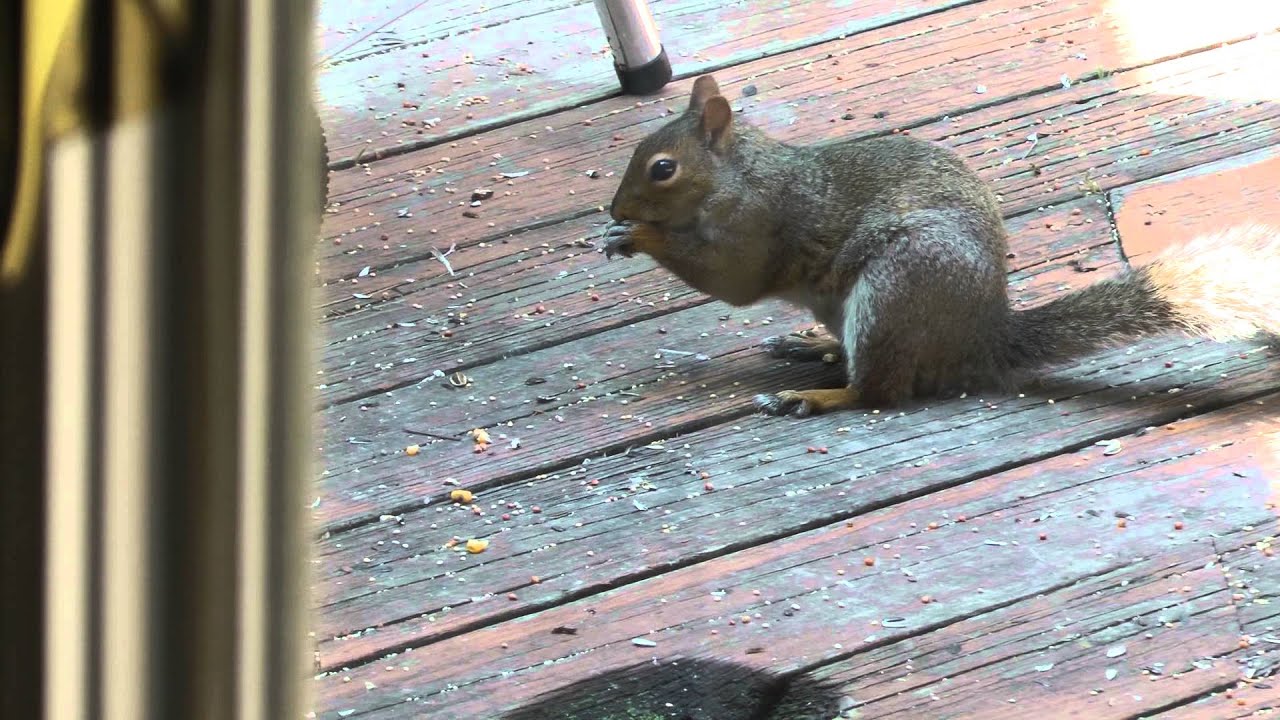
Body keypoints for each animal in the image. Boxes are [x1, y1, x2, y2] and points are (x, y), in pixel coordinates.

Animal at [601, 74, 1280, 417]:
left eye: (662, 169)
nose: (614, 209)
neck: (739, 172)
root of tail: (983, 337)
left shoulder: (759, 223)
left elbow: (732, 279)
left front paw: (640, 235)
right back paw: (815, 346)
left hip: (895, 289)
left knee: (881, 393)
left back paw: (816, 395)